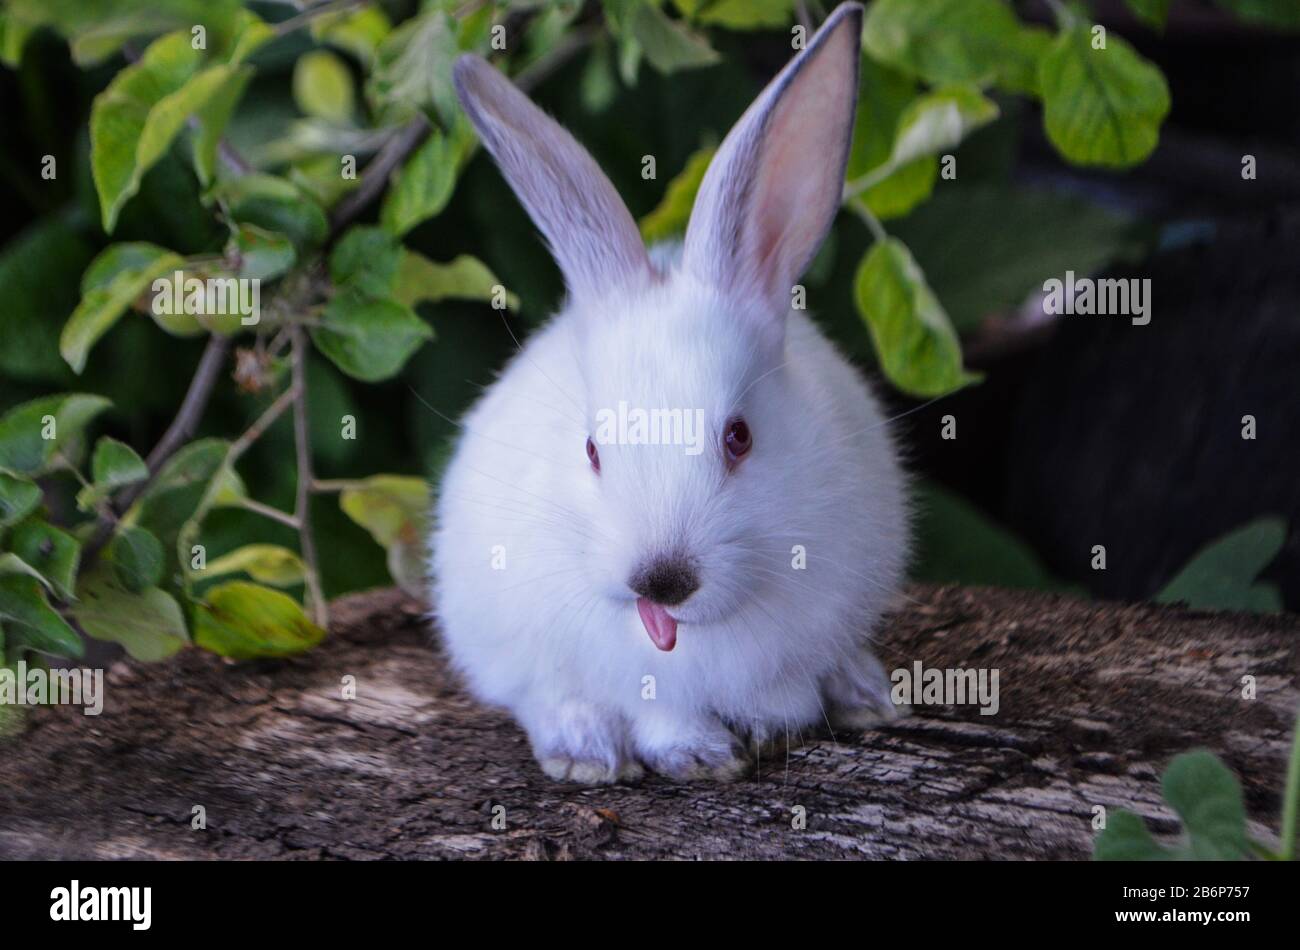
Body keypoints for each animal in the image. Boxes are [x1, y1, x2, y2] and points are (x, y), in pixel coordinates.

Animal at [431, 1, 909, 784]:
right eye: (593, 450)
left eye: (739, 437)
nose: (661, 580)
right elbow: (655, 713)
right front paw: (699, 755)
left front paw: (776, 720)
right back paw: (583, 753)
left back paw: (864, 693)